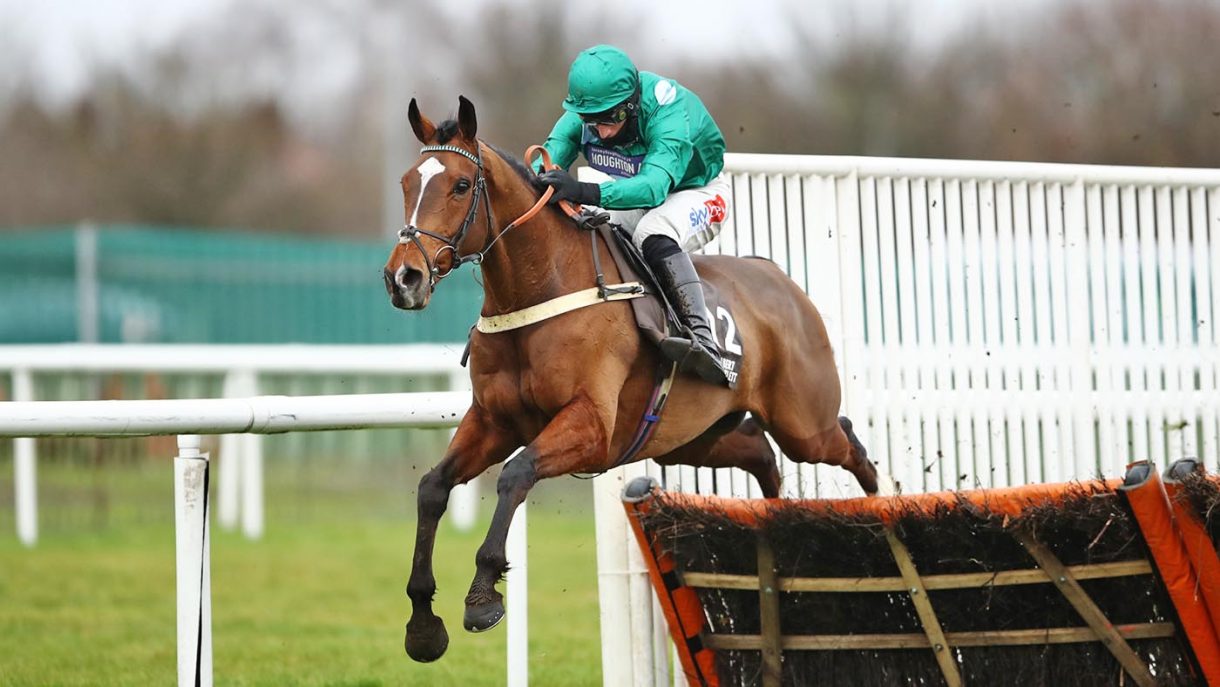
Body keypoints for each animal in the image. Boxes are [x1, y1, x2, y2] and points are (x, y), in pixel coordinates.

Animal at [382, 96, 879, 663]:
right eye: (405, 182)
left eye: (462, 185)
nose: (404, 278)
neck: (540, 288)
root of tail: (777, 277)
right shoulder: (492, 421)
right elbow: (432, 487)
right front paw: (423, 622)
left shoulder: (592, 427)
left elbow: (515, 474)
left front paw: (484, 595)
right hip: (692, 439)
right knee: (759, 452)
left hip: (803, 425)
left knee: (848, 443)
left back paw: (878, 513)